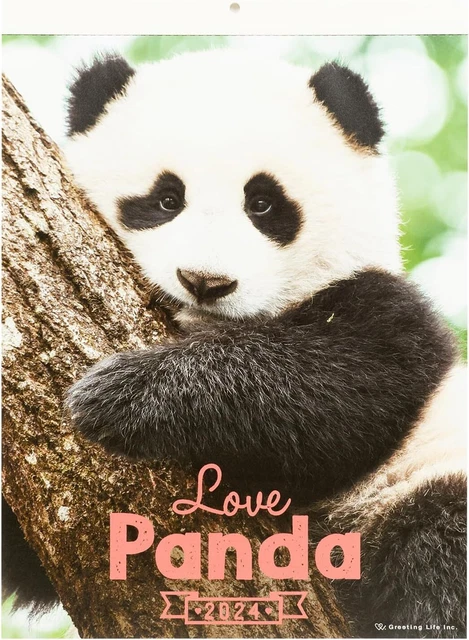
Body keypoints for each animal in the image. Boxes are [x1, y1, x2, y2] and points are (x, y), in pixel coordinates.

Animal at [3, 50, 466, 638]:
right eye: (166, 199)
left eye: (263, 203)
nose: (205, 281)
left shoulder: (391, 319)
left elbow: (341, 384)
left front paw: (121, 395)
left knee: (437, 550)